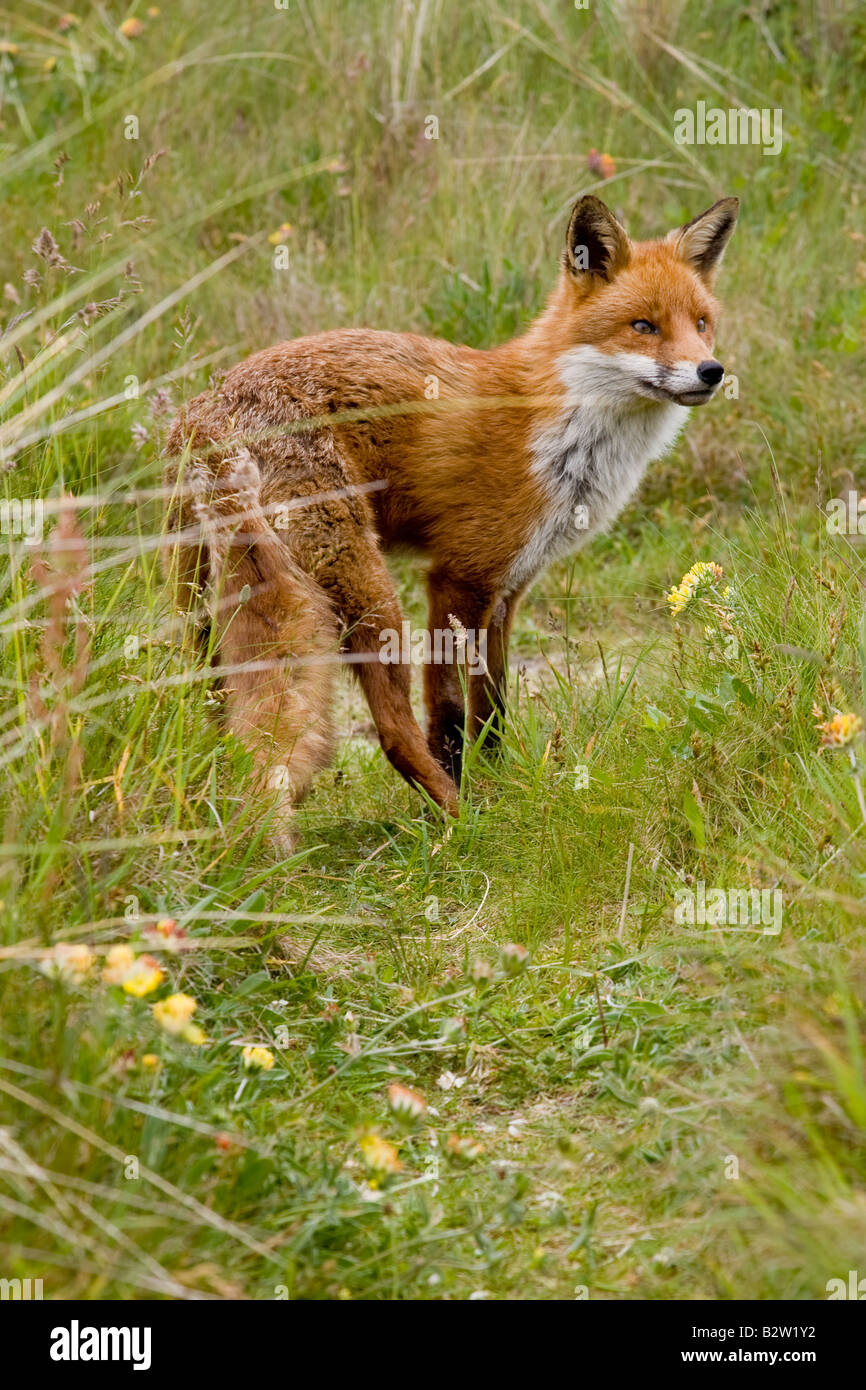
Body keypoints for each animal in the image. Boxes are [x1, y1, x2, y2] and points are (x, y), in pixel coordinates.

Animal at [164, 193, 738, 847]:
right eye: (643, 326)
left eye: (701, 323)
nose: (712, 371)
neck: (560, 424)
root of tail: (205, 414)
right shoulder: (458, 577)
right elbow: (449, 717)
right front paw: (482, 807)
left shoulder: (508, 588)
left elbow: (493, 713)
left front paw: (505, 791)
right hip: (369, 593)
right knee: (391, 731)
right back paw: (459, 825)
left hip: (201, 608)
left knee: (211, 712)